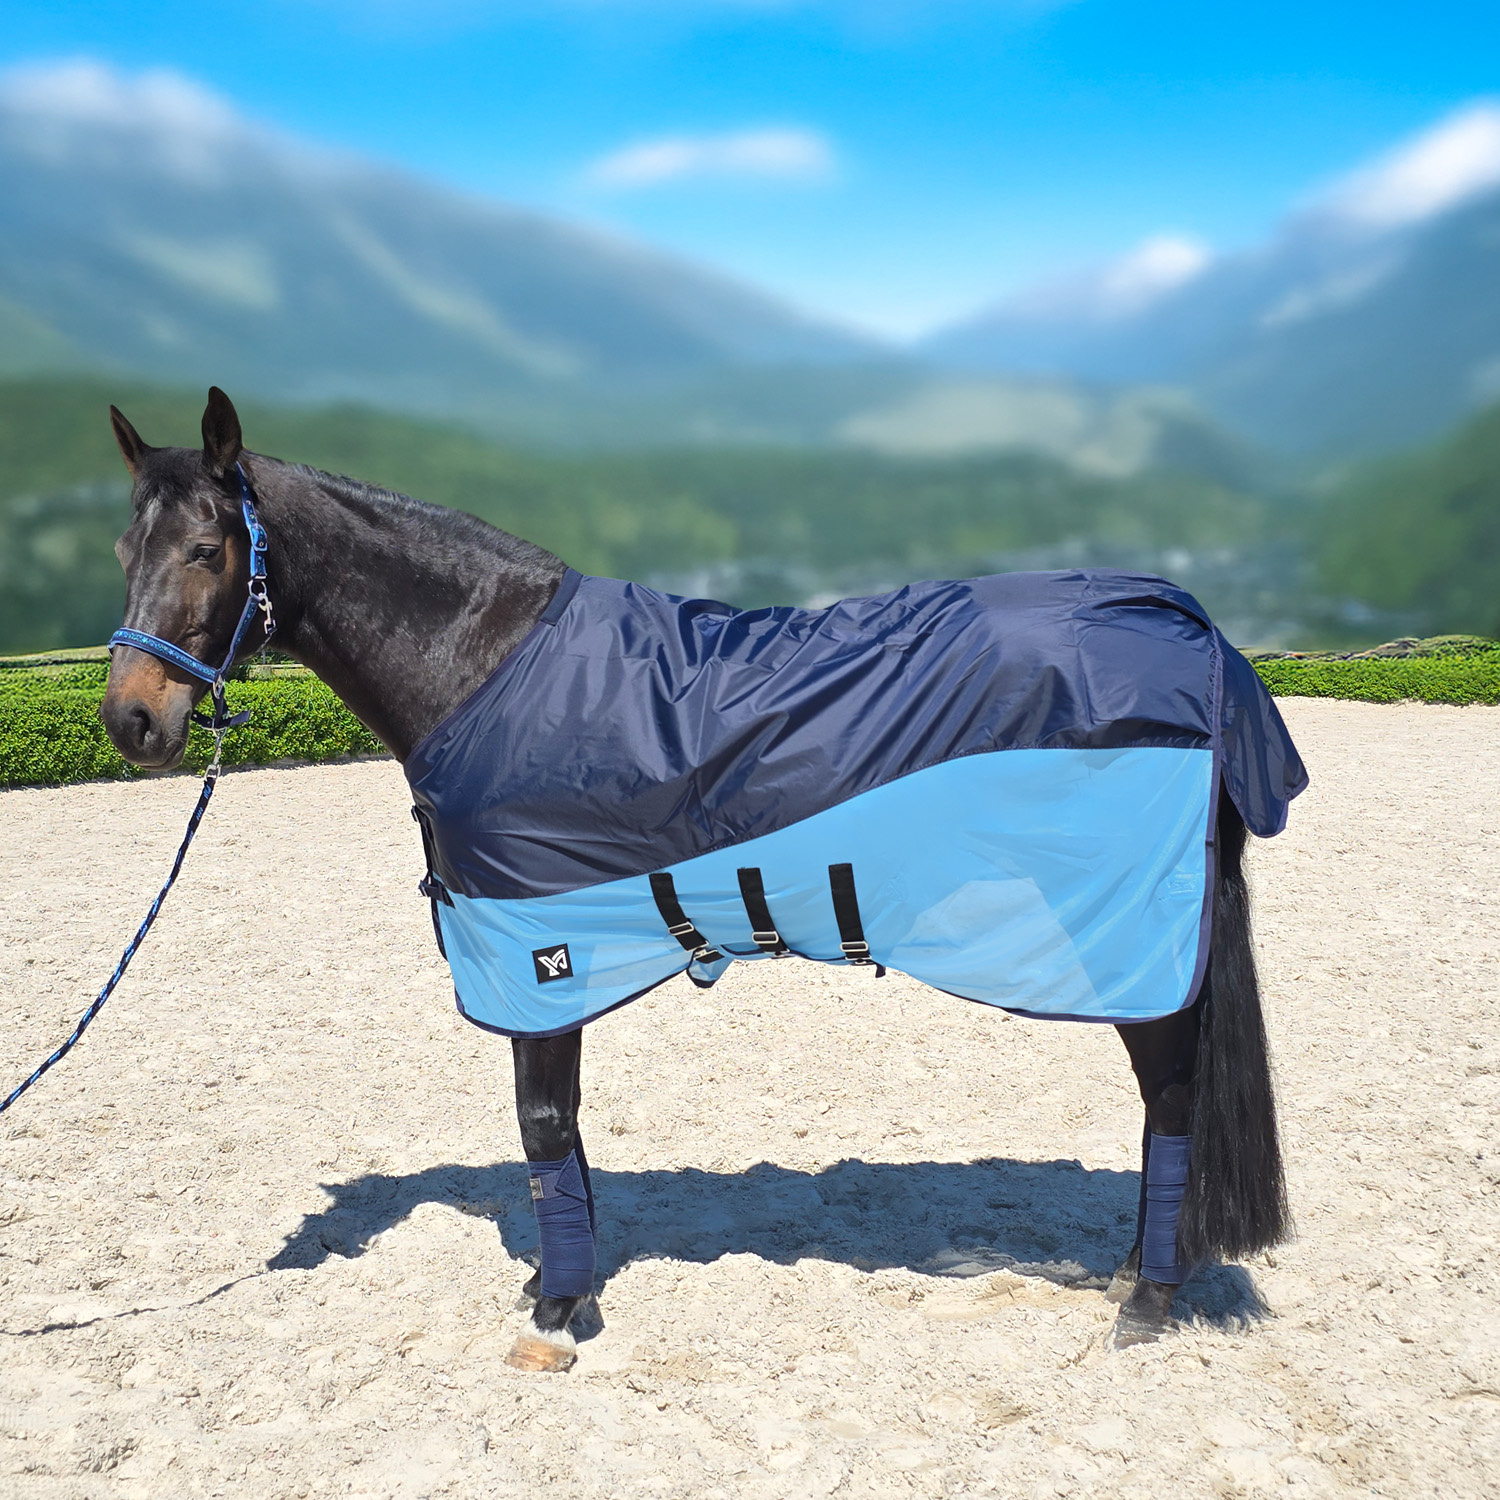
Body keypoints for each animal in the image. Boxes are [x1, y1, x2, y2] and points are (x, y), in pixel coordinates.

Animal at [100, 388, 1294, 1372]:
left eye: (206, 547)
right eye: (123, 545)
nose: (131, 720)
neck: (482, 668)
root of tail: (1189, 631)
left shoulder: (539, 953)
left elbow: (543, 1127)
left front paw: (554, 1316)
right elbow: (566, 1136)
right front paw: (566, 1289)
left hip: (1127, 942)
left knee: (1171, 1097)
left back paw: (1145, 1300)